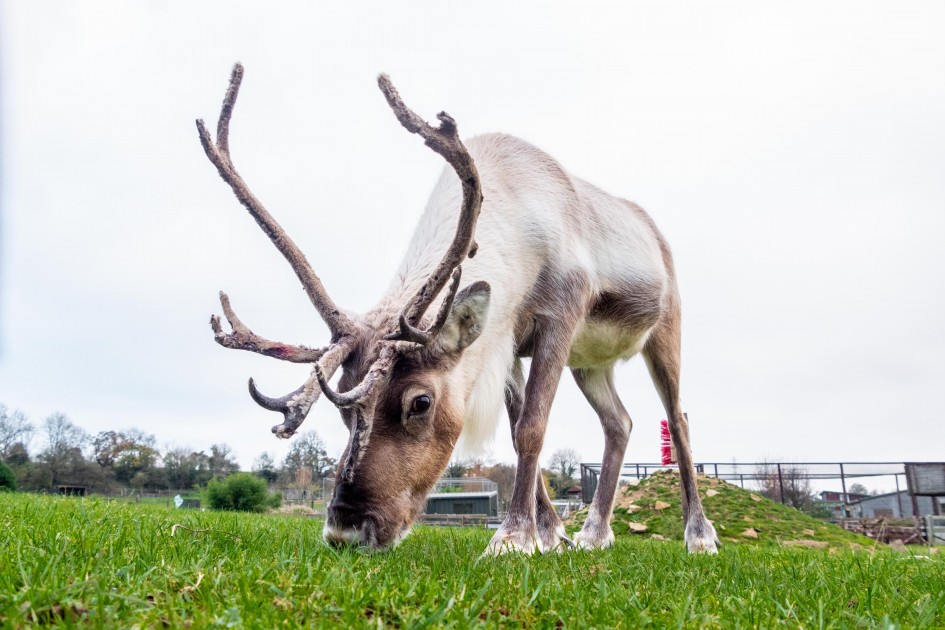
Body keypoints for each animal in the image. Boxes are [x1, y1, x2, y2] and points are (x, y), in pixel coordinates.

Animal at [199, 63, 720, 555]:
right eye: (343, 403)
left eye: (420, 402)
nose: (345, 529)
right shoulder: (505, 339)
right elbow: (515, 429)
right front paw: (551, 535)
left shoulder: (560, 314)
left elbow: (532, 428)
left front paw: (512, 538)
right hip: (591, 361)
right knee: (620, 422)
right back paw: (594, 534)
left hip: (665, 328)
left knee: (679, 419)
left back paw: (699, 536)